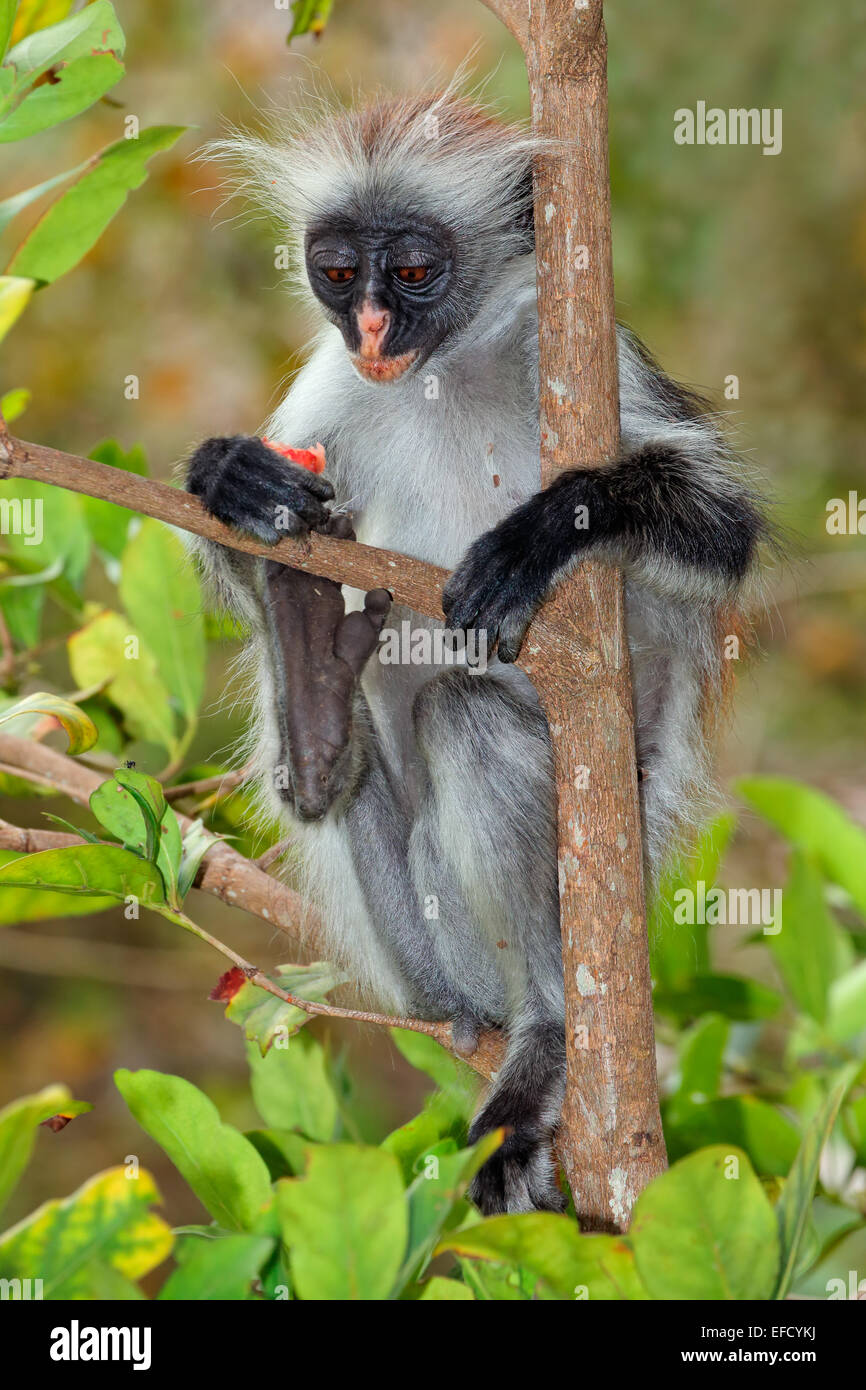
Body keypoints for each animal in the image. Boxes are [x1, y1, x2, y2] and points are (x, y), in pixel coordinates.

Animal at [186, 89, 767, 1217]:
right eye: (338, 270)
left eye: (413, 270)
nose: (370, 325)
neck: (442, 371)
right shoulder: (335, 390)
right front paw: (231, 481)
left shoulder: (581, 353)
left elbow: (725, 533)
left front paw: (545, 533)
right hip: (428, 948)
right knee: (360, 779)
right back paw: (314, 703)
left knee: (468, 716)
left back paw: (542, 1042)